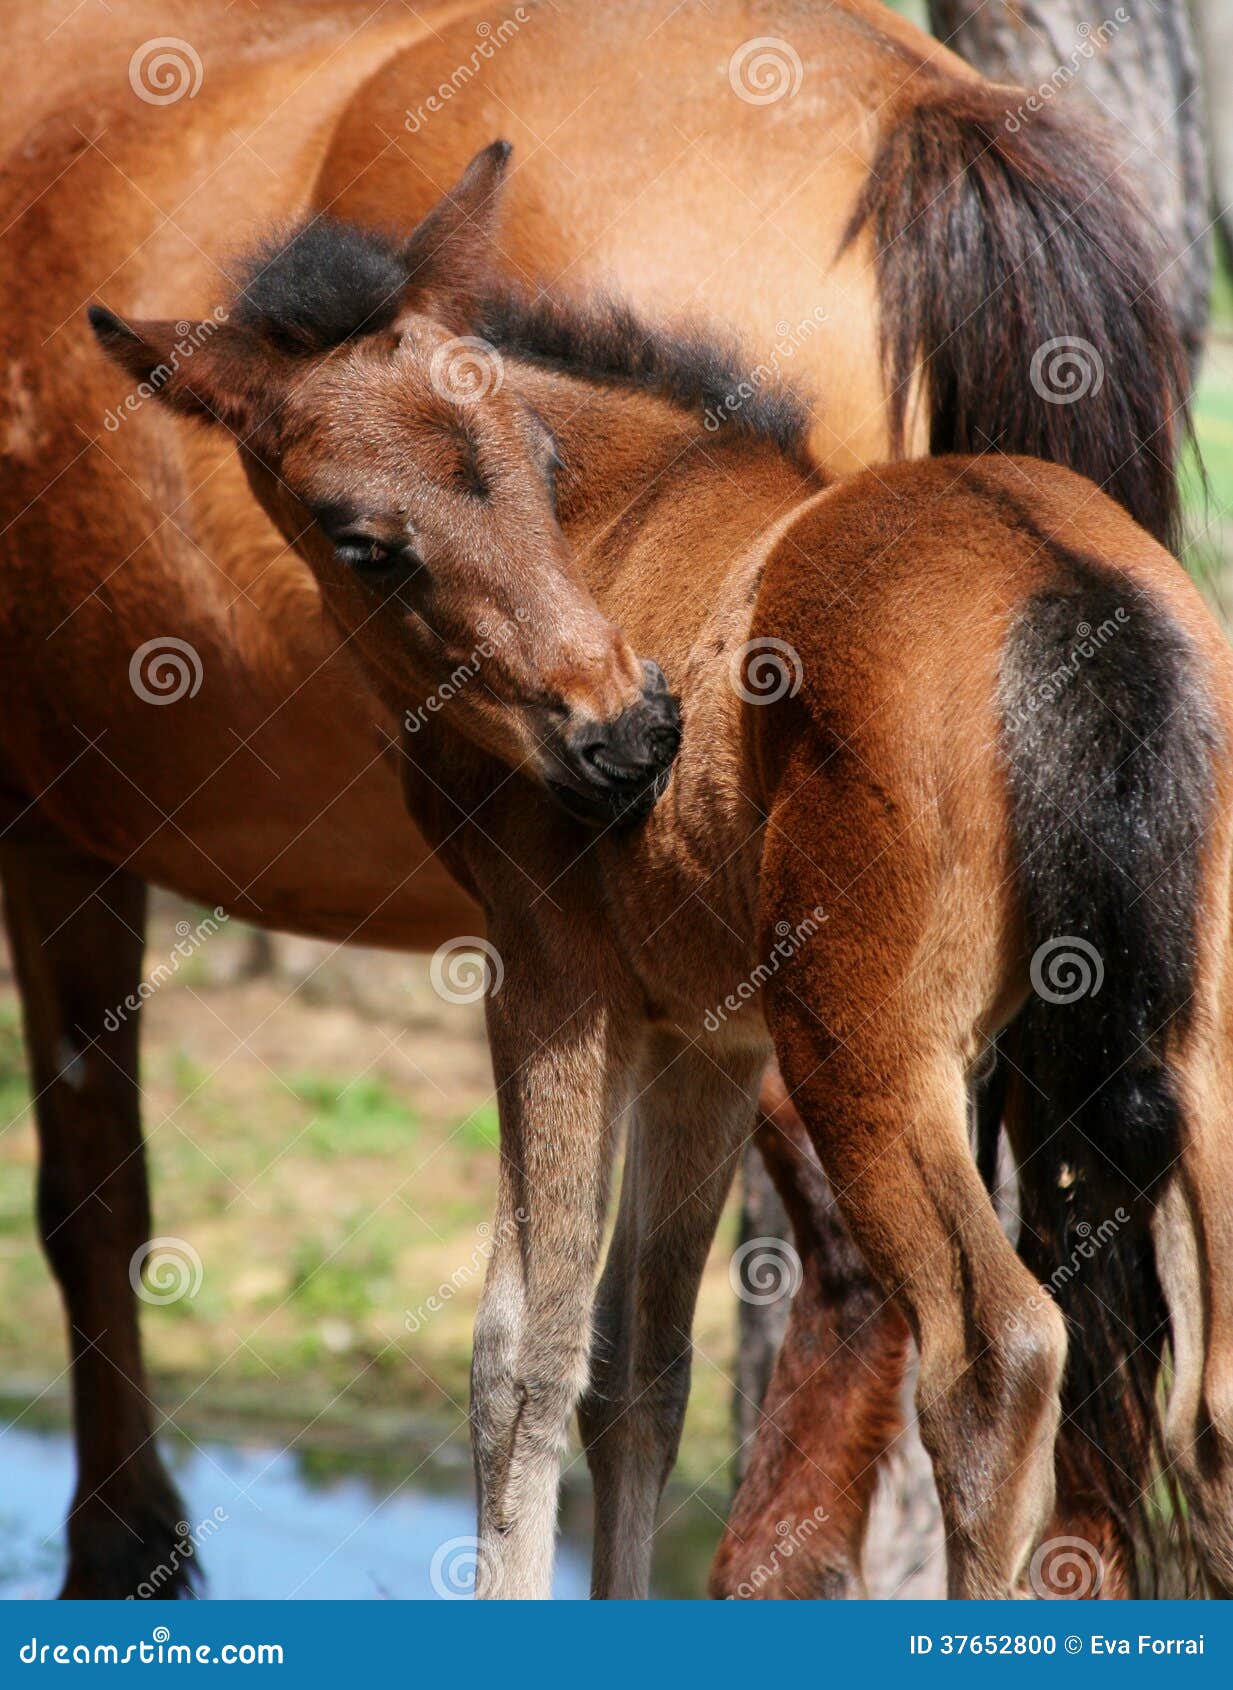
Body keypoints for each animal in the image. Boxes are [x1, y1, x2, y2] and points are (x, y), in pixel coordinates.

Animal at [0, 0, 1187, 1595]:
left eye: (534, 456)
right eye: (358, 539)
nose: (631, 734)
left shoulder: (533, 968)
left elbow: (494, 1334)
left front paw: (129, 1542)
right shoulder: (684, 1023)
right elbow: (635, 1362)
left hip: (862, 1049)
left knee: (965, 1337)